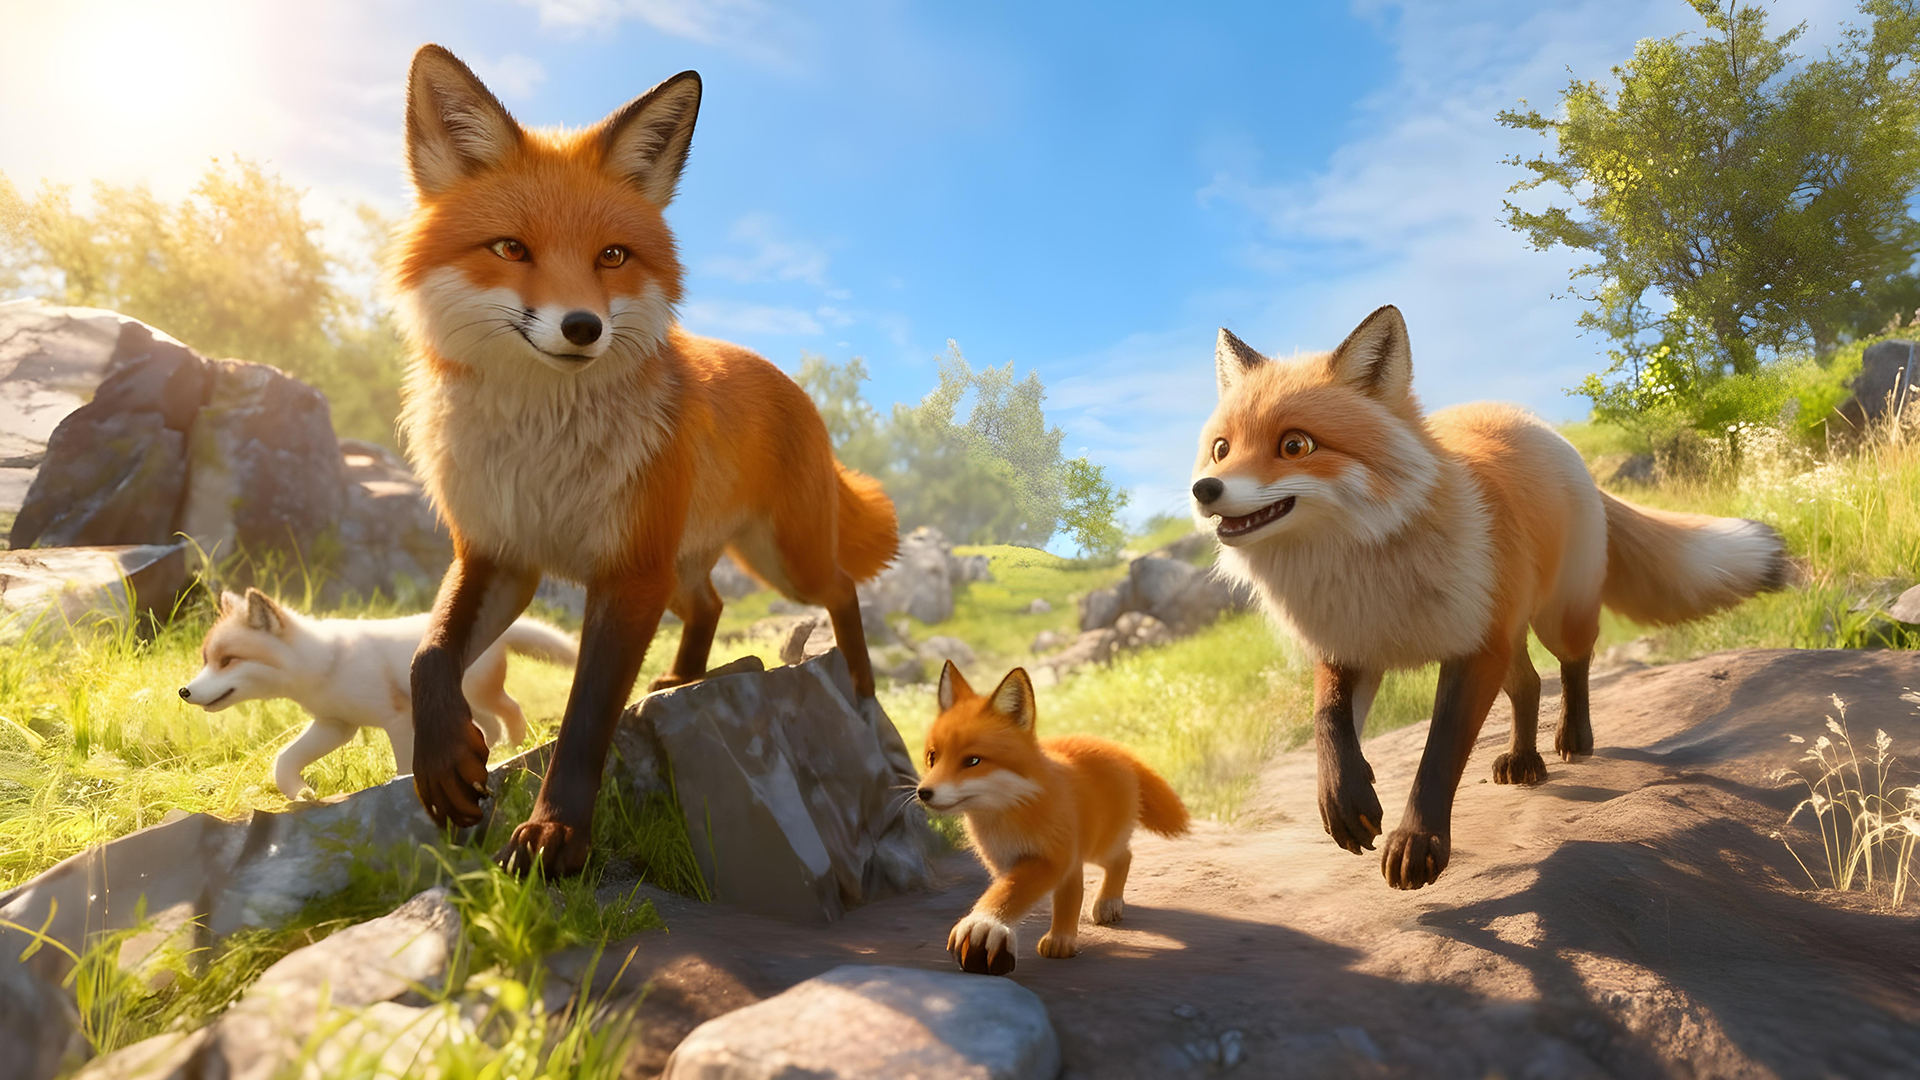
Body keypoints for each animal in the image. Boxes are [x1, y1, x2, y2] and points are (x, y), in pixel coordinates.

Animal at [178, 588, 576, 800]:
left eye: (228, 661)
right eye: (207, 660)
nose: (184, 691)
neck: (324, 665)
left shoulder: (395, 720)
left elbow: (403, 770)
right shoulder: (336, 725)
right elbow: (284, 759)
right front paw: (301, 794)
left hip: (480, 697)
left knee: (512, 710)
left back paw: (513, 749)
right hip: (463, 705)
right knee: (488, 727)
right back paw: (490, 757)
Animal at [389, 45, 899, 876]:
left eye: (613, 256)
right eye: (511, 248)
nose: (582, 327)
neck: (542, 454)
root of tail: (786, 380)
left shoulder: (629, 574)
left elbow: (586, 714)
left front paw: (556, 834)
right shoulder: (500, 553)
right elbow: (428, 654)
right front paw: (443, 764)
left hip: (778, 559)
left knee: (842, 588)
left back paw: (859, 685)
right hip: (687, 560)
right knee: (712, 606)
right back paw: (684, 679)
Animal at [919, 661, 1191, 976]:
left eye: (973, 761)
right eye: (932, 758)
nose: (923, 792)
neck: (1010, 813)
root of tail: (1115, 745)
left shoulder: (1057, 858)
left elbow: (1037, 896)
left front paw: (992, 926)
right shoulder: (1007, 864)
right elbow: (1007, 894)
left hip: (1099, 846)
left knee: (1124, 857)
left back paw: (1108, 902)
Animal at [1191, 305, 1789, 891]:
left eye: (1295, 445)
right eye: (1221, 449)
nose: (1204, 489)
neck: (1366, 570)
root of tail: (1535, 424)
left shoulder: (1473, 647)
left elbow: (1440, 752)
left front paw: (1418, 843)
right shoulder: (1348, 642)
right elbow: (1329, 724)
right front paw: (1345, 802)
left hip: (1552, 618)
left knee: (1572, 664)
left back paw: (1573, 738)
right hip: (1508, 634)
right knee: (1528, 684)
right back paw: (1524, 759)